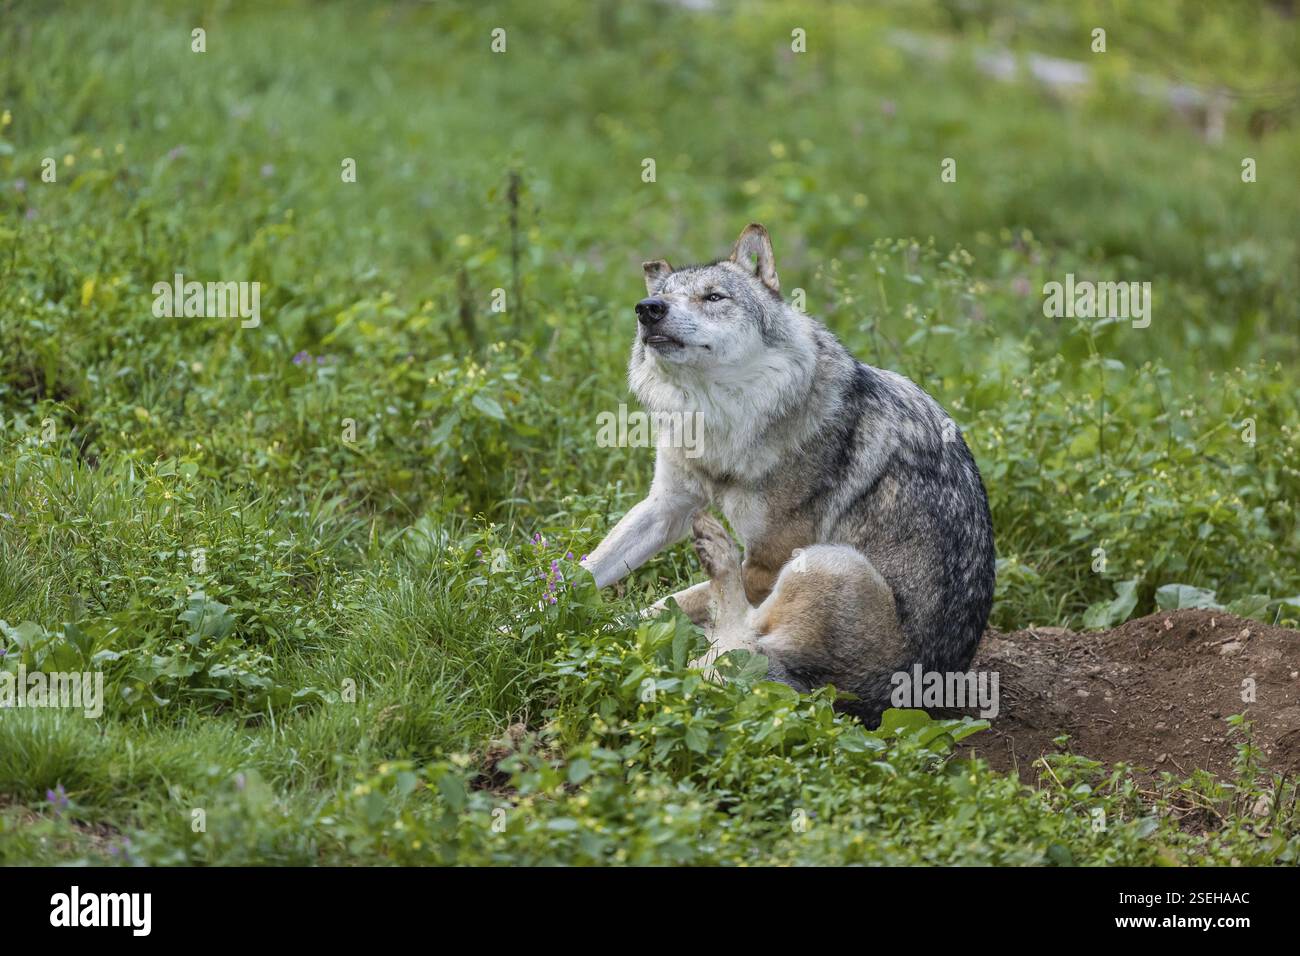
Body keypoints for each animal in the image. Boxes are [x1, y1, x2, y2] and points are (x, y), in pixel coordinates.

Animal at [581, 224, 995, 725]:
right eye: (661, 297)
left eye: (714, 297)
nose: (648, 309)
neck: (721, 418)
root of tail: (887, 704)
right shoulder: (667, 506)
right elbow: (585, 572)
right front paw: (533, 615)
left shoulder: (766, 561)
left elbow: (662, 605)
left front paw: (594, 628)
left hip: (826, 562)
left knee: (734, 637)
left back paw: (715, 550)